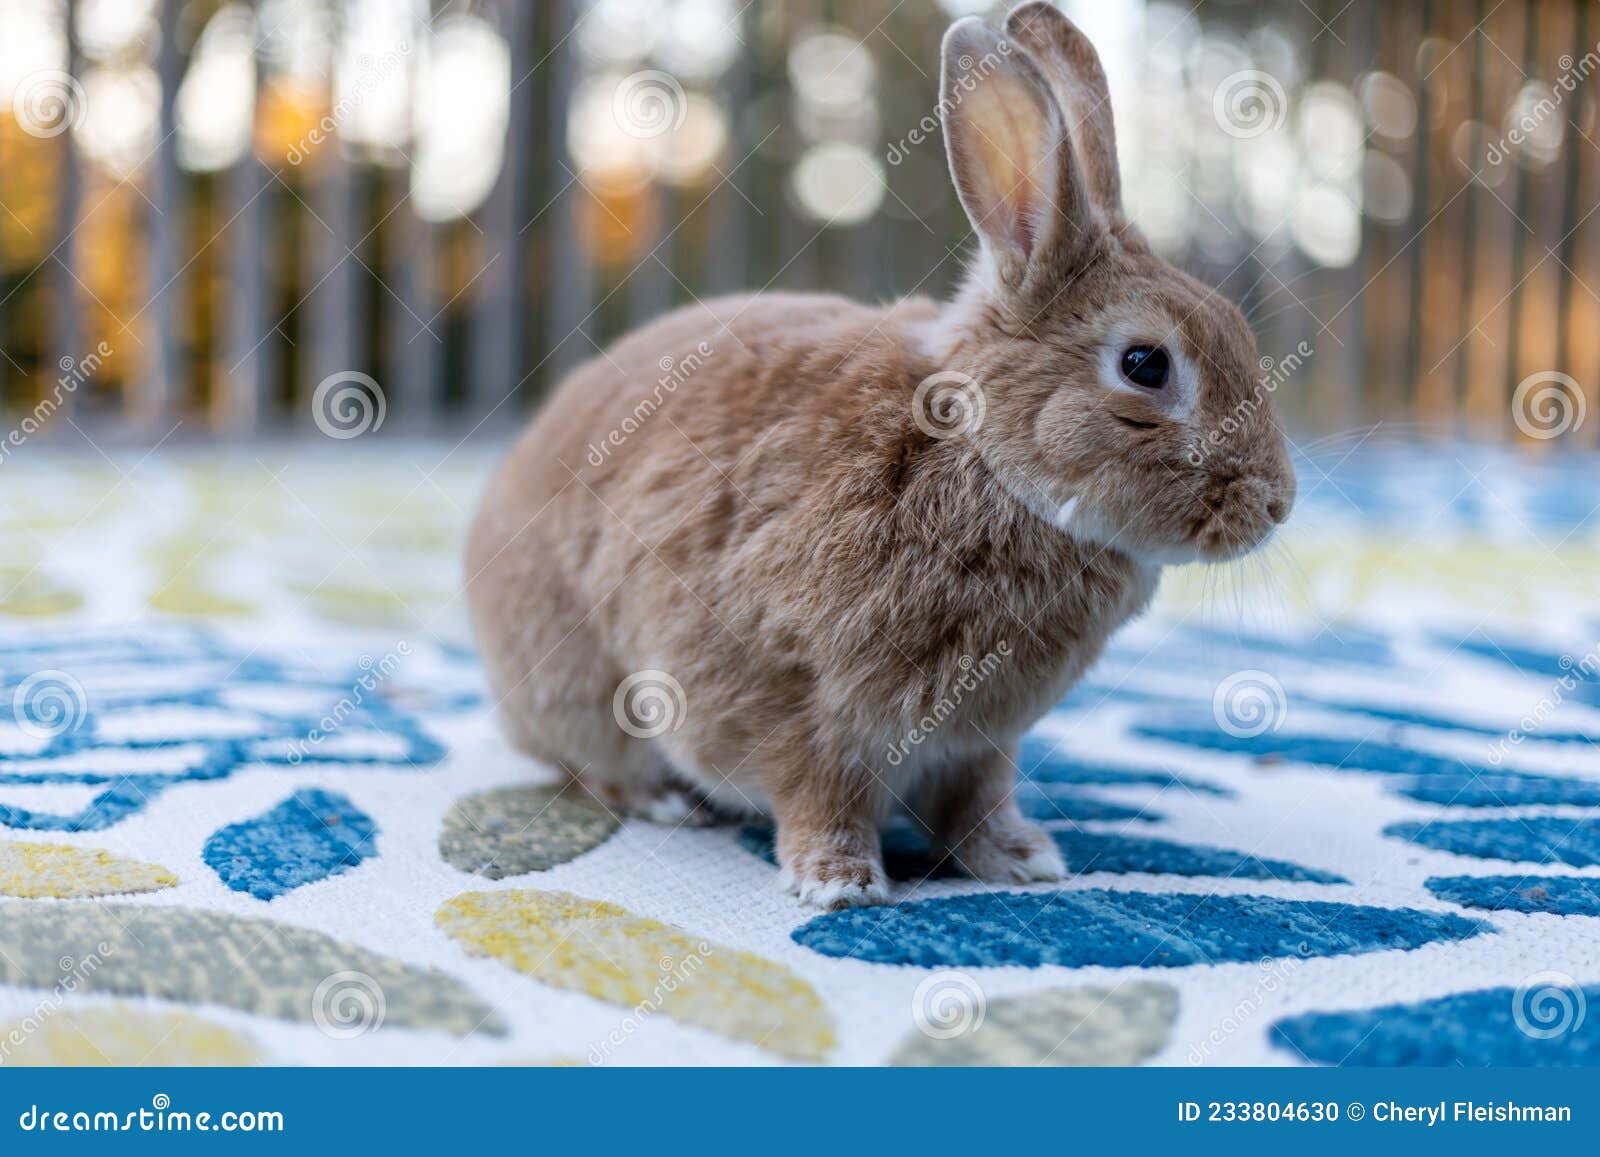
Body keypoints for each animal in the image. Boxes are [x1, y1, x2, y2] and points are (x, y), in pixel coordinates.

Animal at [465, 2, 1295, 909]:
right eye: (1146, 364)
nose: (1277, 504)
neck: (979, 454)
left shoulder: (977, 744)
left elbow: (976, 802)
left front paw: (1020, 860)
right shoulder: (794, 694)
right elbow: (816, 789)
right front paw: (840, 881)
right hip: (586, 691)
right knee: (588, 765)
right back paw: (664, 801)